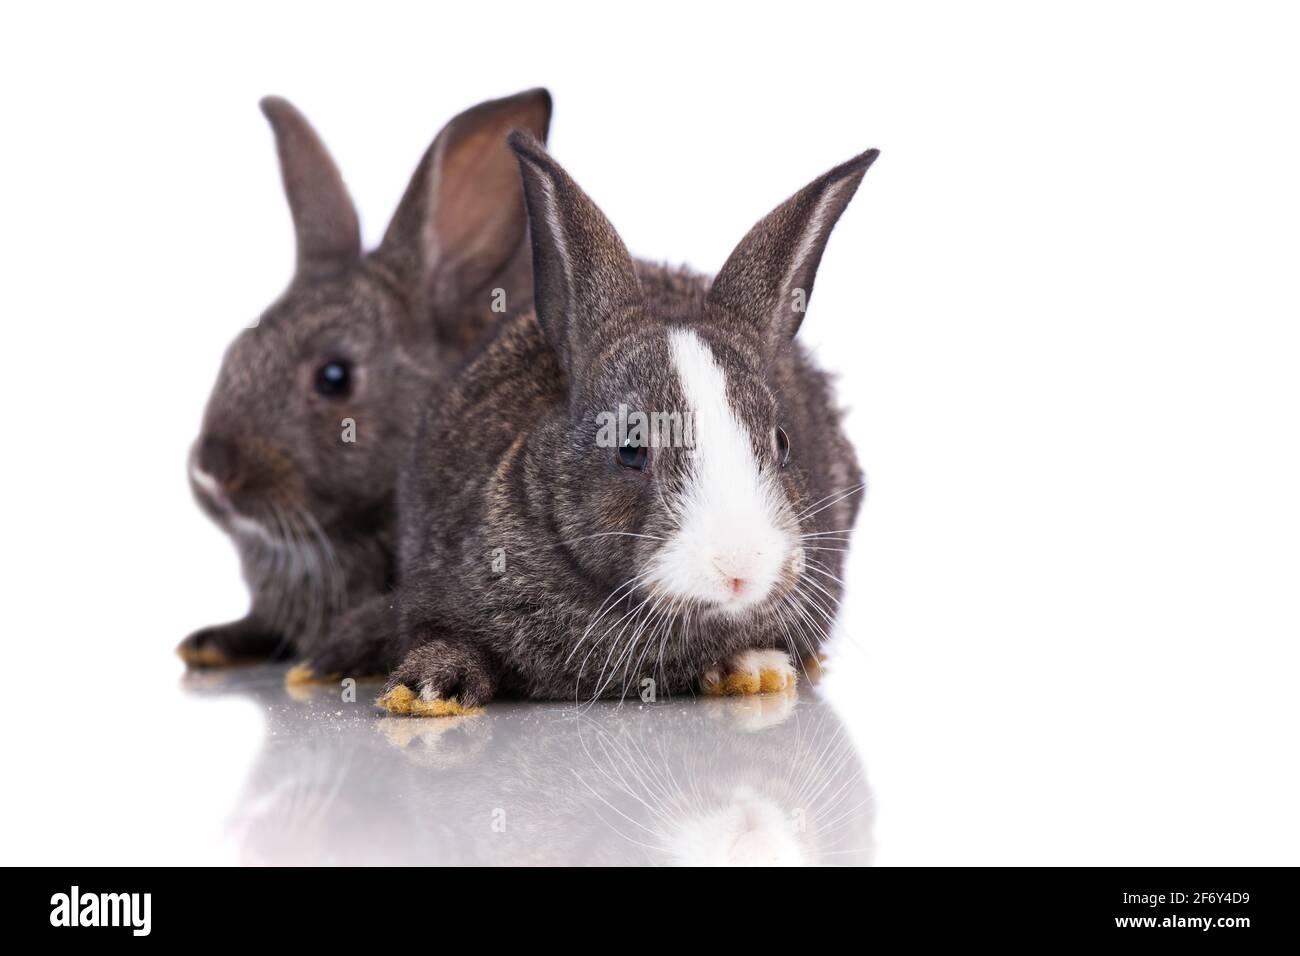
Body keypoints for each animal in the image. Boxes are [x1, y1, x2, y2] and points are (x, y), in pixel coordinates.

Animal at [379, 131, 877, 713]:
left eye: (781, 443)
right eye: (631, 447)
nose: (740, 565)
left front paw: (753, 669)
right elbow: (445, 639)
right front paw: (428, 687)